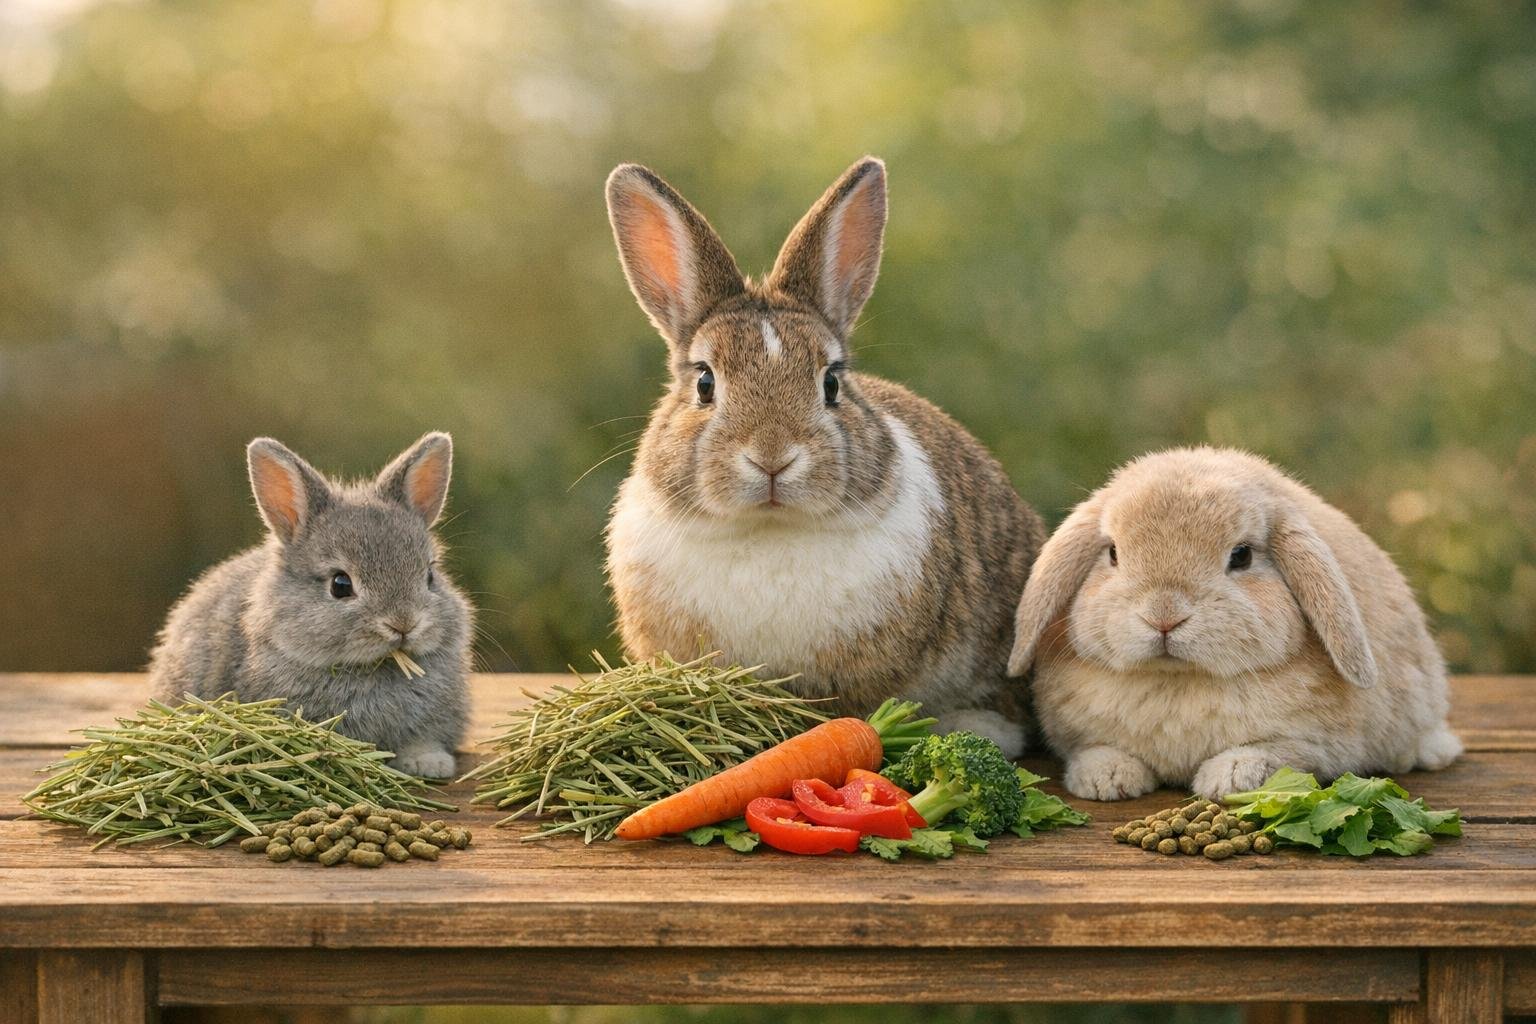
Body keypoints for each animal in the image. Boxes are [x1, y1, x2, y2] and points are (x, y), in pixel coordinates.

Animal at [149, 432, 472, 779]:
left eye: (429, 574)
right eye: (340, 584)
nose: (403, 623)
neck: (378, 667)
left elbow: (423, 740)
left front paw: (430, 764)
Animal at [1007, 445, 1462, 800]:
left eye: (1241, 555)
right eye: (1113, 553)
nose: (1164, 615)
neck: (1177, 681)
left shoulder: (1317, 745)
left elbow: (1277, 755)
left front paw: (1230, 779)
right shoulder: (1078, 734)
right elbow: (1094, 749)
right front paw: (1107, 779)